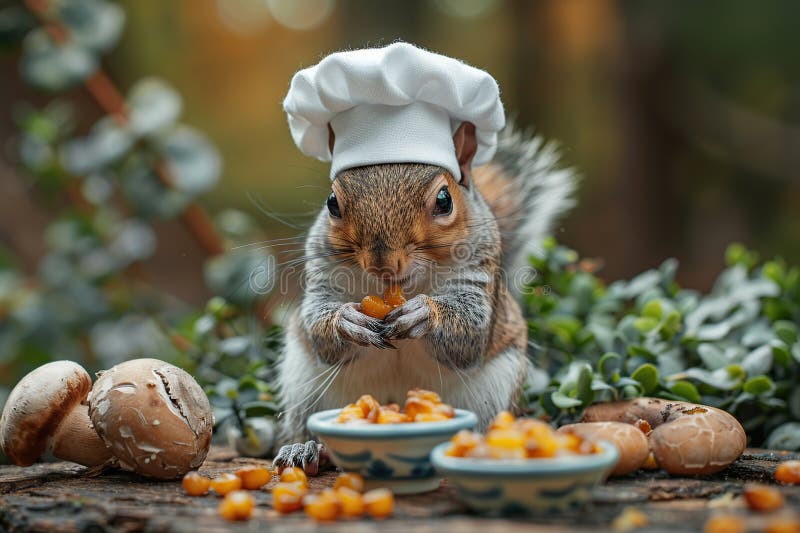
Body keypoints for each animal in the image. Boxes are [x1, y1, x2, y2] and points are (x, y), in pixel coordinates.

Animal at [272, 121, 577, 474]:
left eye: (444, 200)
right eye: (332, 202)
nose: (383, 264)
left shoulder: (478, 277)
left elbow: (470, 331)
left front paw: (424, 313)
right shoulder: (322, 274)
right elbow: (318, 322)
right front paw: (347, 320)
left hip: (497, 386)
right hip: (303, 384)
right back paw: (308, 448)